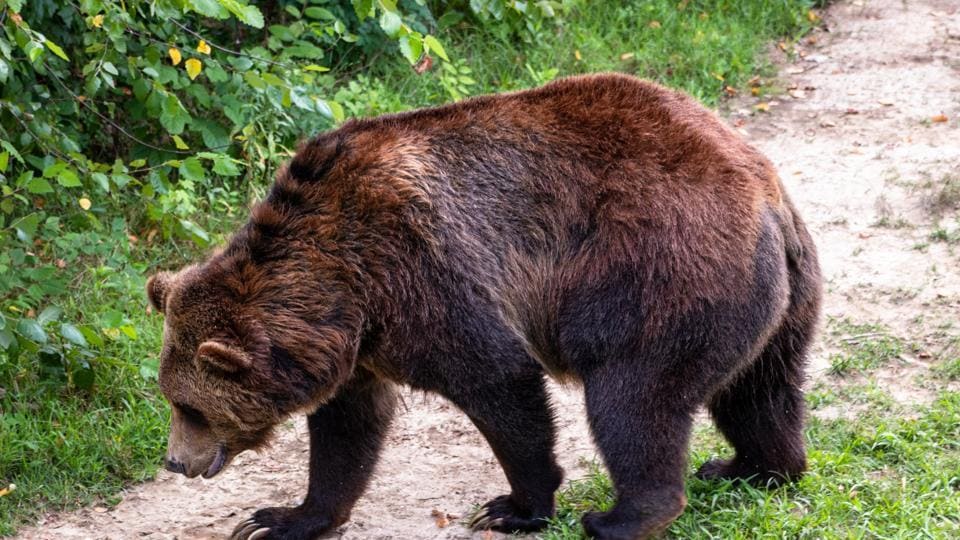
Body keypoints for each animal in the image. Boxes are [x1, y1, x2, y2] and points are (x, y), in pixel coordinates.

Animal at [147, 73, 821, 540]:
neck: (340, 286)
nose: (176, 462)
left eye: (191, 406)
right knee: (760, 391)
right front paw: (280, 517)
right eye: (173, 400)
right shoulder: (357, 344)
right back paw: (749, 467)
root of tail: (765, 194)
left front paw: (515, 507)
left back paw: (622, 516)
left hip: (658, 274)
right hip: (776, 300)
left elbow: (499, 381)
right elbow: (347, 431)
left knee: (635, 399)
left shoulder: (422, 275)